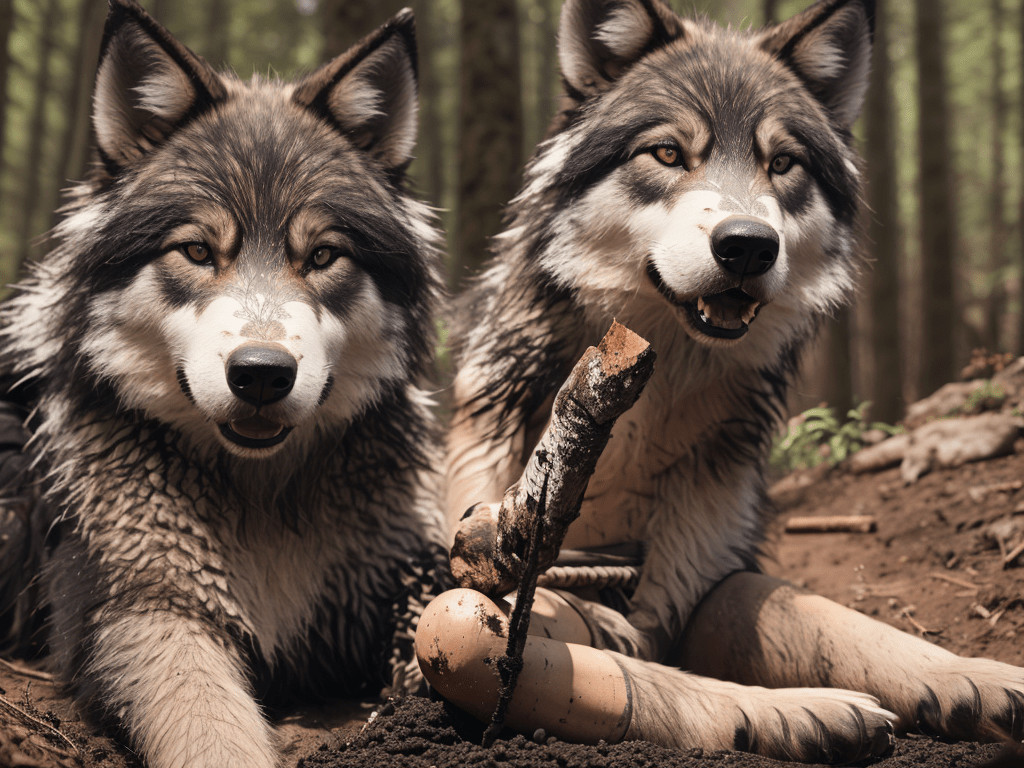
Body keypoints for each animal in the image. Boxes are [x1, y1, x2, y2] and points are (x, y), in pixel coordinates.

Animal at [0, 2, 448, 767]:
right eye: (197, 251)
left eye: (322, 256)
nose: (261, 375)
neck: (261, 498)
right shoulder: (145, 609)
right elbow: (214, 731)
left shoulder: (392, 571)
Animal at [417, 0, 1024, 762]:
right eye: (668, 154)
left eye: (783, 163)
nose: (747, 246)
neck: (635, 423)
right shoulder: (485, 589)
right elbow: (595, 662)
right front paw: (799, 709)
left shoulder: (708, 583)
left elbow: (822, 610)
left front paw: (969, 675)